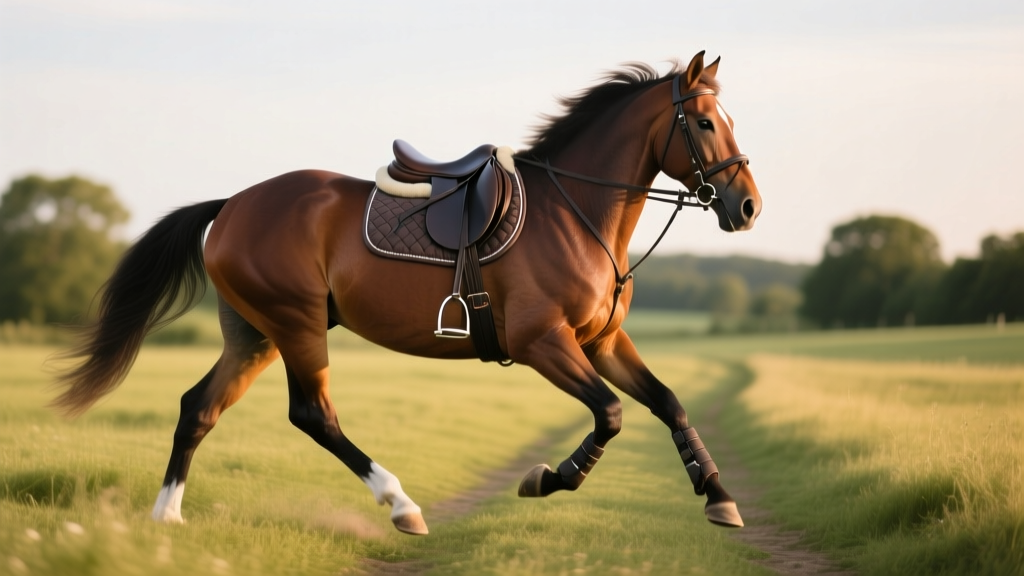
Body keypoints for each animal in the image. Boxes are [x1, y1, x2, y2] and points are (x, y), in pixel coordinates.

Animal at [53, 51, 761, 535]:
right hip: (296, 325)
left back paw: (166, 517)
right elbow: (610, 414)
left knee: (199, 407)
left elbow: (668, 402)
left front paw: (720, 496)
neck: (574, 211)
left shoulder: (603, 341)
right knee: (314, 415)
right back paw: (401, 505)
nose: (748, 206)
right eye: (704, 123)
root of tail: (231, 205)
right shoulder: (544, 343)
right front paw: (547, 479)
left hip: (254, 335)